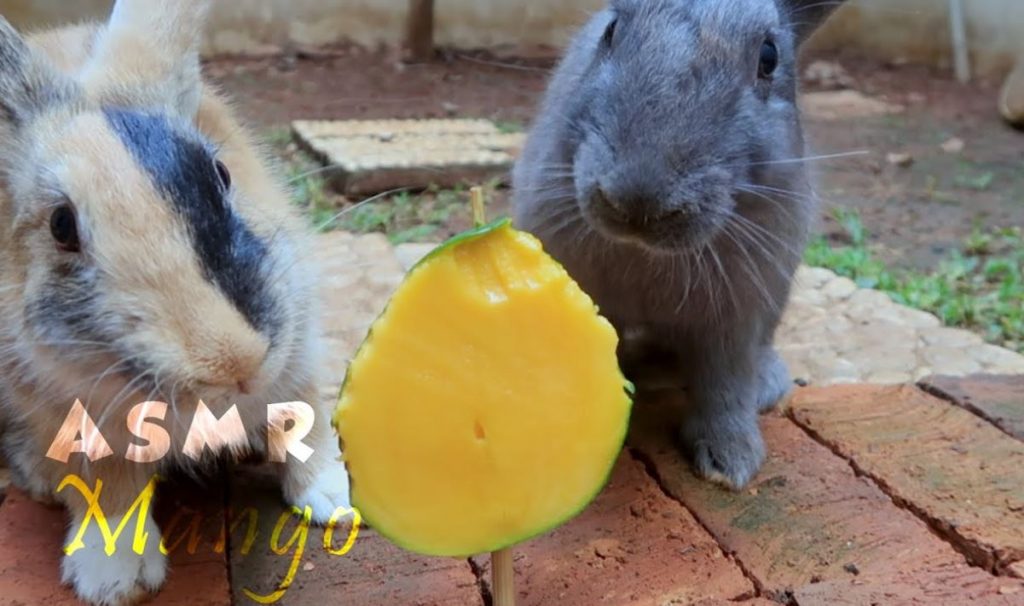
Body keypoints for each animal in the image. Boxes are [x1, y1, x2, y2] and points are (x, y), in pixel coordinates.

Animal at [0, 1, 350, 604]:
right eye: (61, 225)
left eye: (221, 174)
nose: (235, 362)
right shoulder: (73, 420)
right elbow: (105, 489)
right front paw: (112, 577)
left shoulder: (296, 353)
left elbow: (302, 421)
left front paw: (333, 501)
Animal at [513, 0, 847, 490]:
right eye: (611, 31)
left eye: (768, 58)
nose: (636, 201)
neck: (643, 251)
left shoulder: (736, 317)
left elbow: (725, 385)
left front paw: (731, 465)